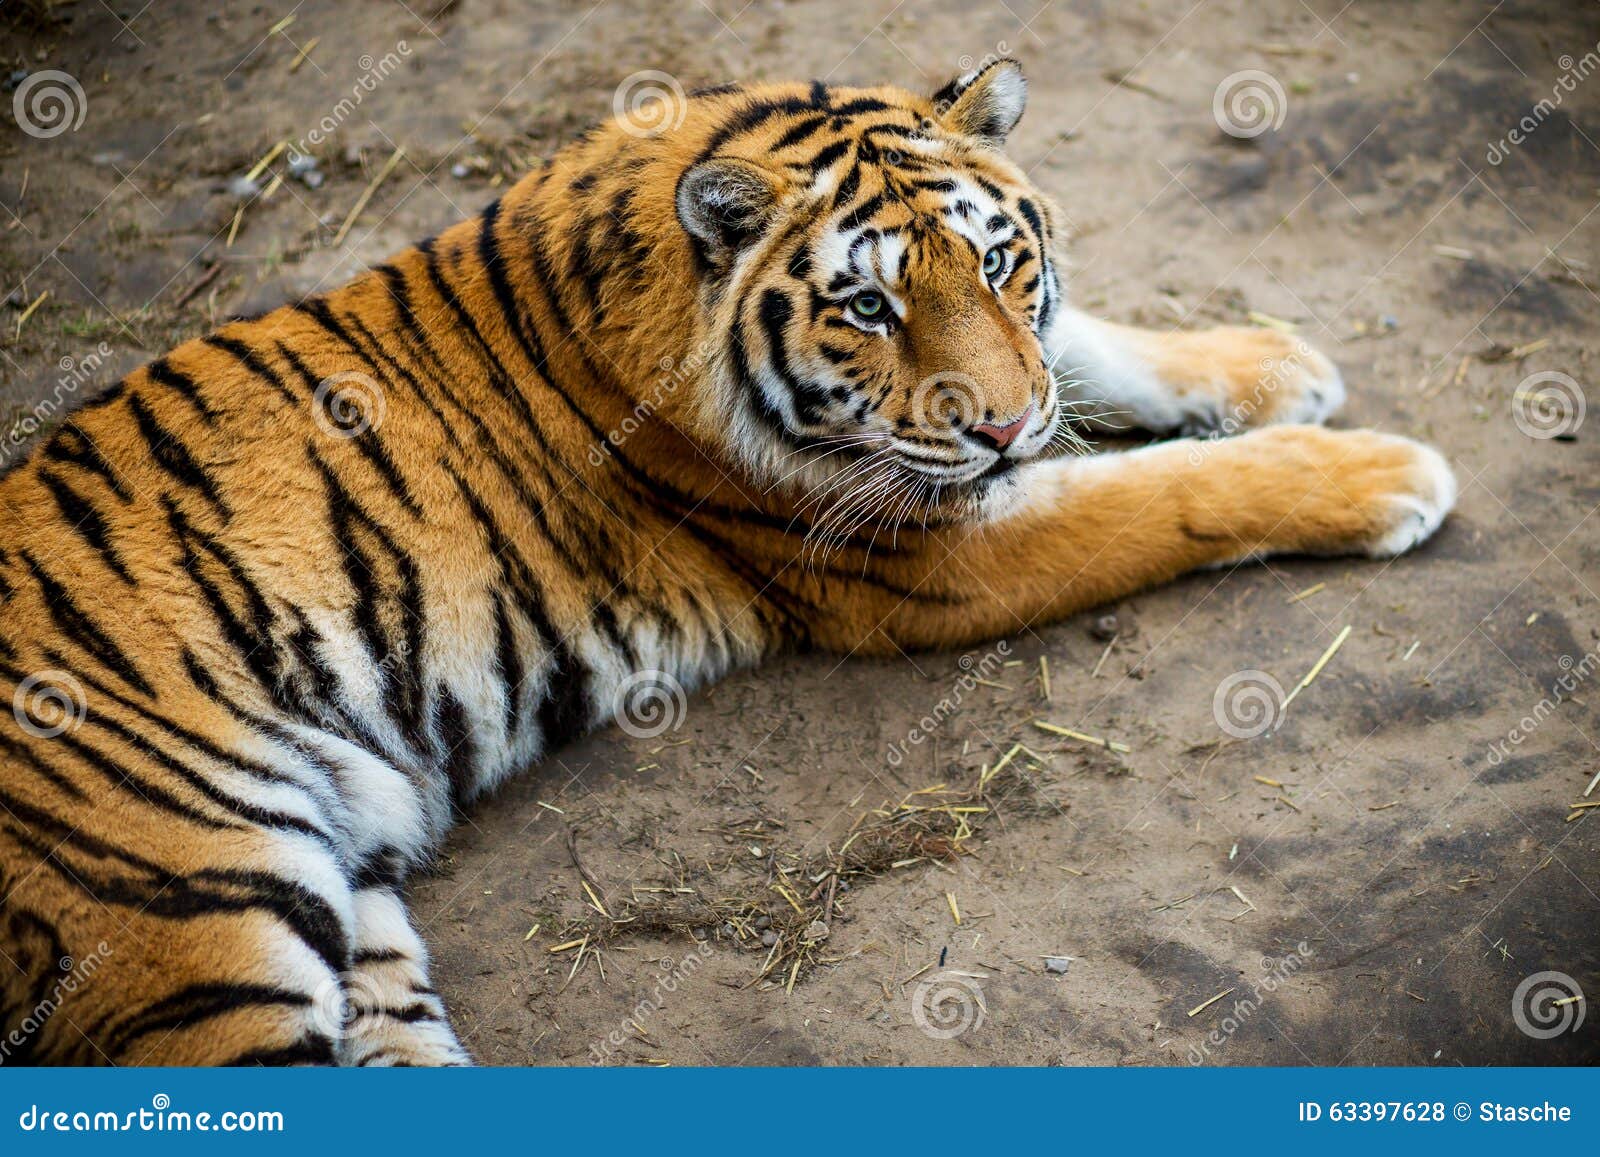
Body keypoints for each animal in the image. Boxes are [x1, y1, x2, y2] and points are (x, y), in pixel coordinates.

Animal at [0, 58, 1455, 1066]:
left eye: (996, 261)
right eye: (866, 305)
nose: (994, 430)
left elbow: (1085, 346)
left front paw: (1270, 361)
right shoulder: (925, 554)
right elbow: (1164, 491)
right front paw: (1387, 473)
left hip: (345, 906)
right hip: (192, 927)